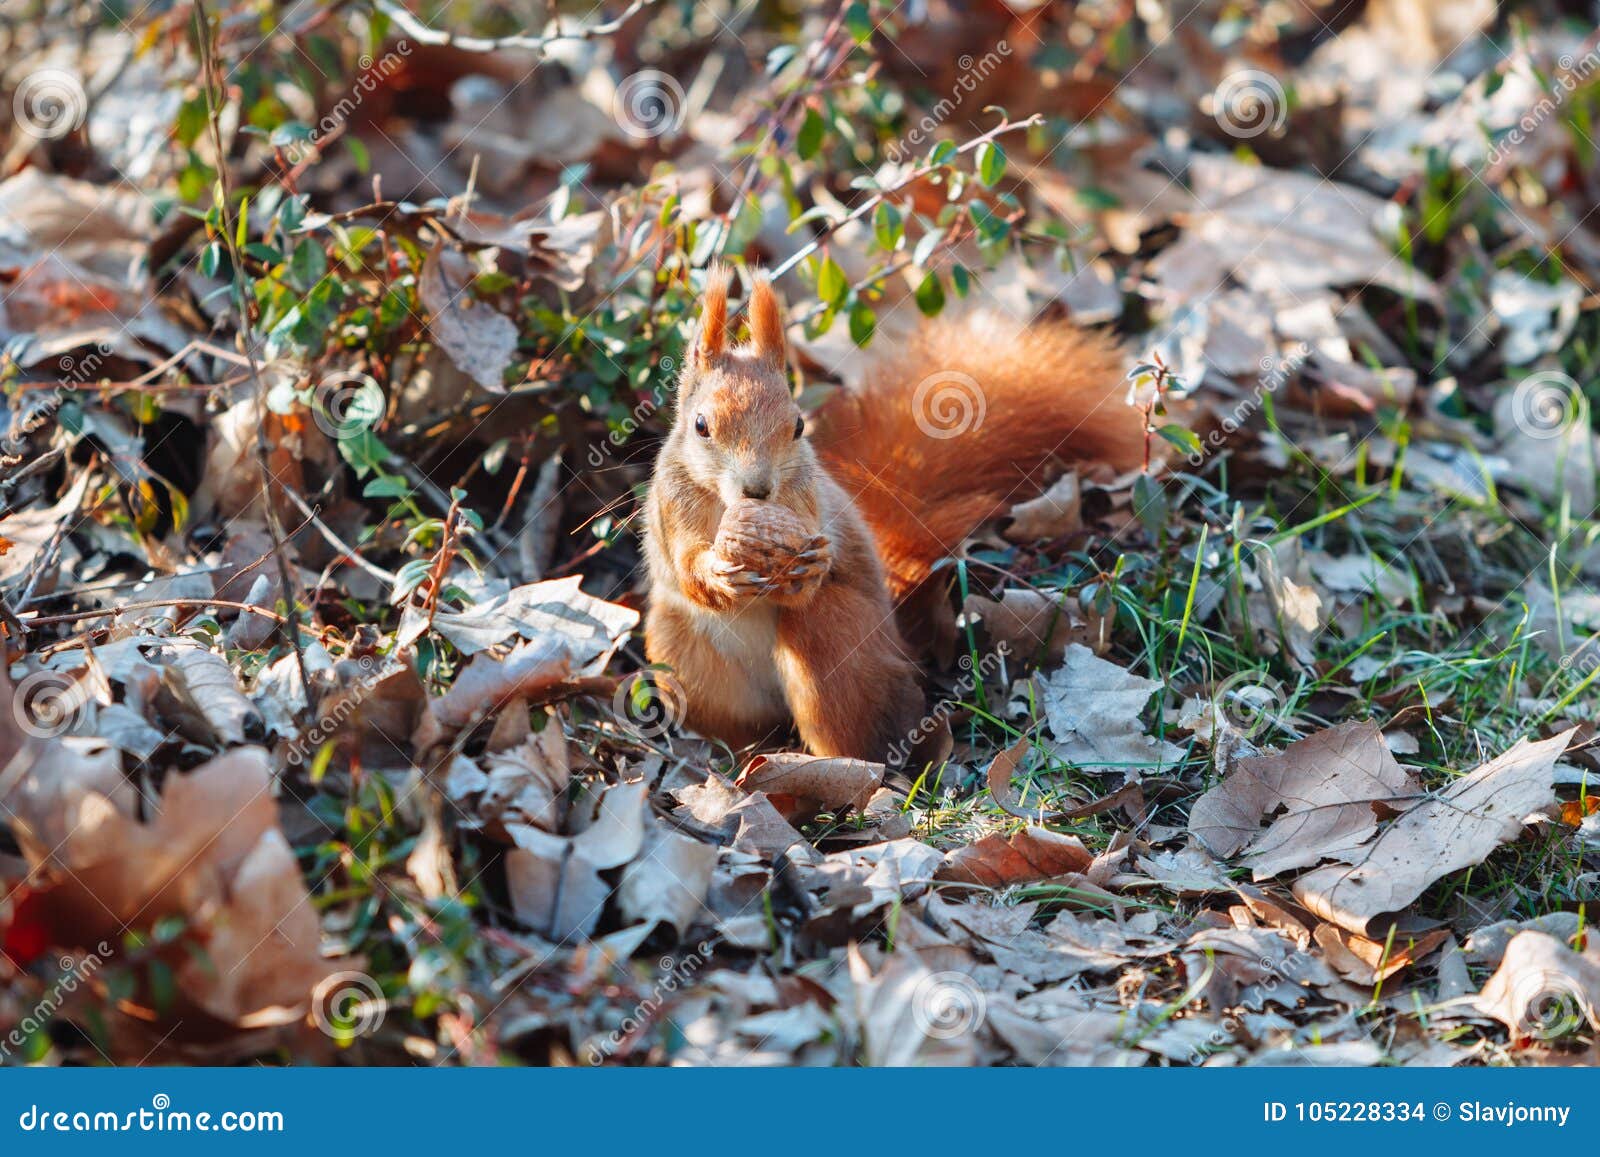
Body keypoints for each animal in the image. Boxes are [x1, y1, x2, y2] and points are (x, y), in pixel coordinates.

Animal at [642, 265, 1147, 766]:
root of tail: (901, 645)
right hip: (680, 654)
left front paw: (806, 565)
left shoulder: (806, 502)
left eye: (799, 425)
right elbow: (686, 567)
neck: (729, 505)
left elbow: (807, 569)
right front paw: (717, 569)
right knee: (742, 722)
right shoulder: (673, 506)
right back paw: (741, 753)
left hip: (843, 636)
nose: (758, 489)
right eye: (701, 426)